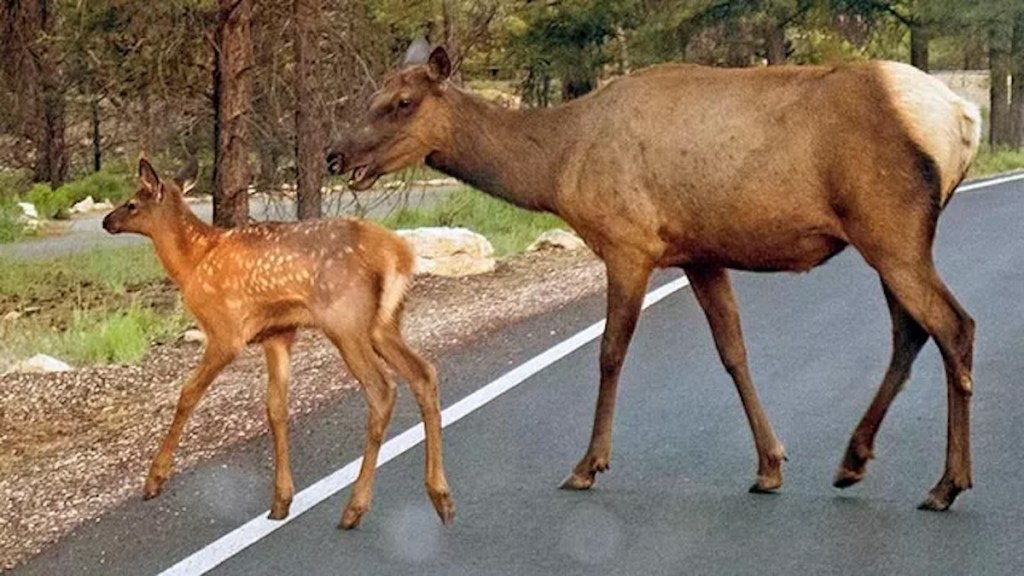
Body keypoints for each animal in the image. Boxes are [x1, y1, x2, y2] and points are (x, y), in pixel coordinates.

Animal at [102, 158, 454, 529]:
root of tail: (399, 254)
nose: (107, 220)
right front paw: (282, 499)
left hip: (346, 323)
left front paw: (154, 479)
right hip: (383, 325)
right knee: (423, 373)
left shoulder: (226, 332)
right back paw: (441, 498)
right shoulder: (277, 334)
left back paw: (354, 508)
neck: (192, 262)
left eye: (131, 203)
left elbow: (188, 394)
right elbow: (276, 408)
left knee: (382, 388)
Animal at [327, 47, 982, 511]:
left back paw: (946, 484)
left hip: (890, 227)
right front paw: (769, 465)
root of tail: (963, 117)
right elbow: (733, 351)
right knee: (910, 332)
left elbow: (611, 353)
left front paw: (587, 465)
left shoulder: (628, 244)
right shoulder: (699, 253)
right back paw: (853, 460)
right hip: (888, 237)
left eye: (402, 101)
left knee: (955, 324)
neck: (556, 167)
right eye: (372, 94)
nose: (336, 155)